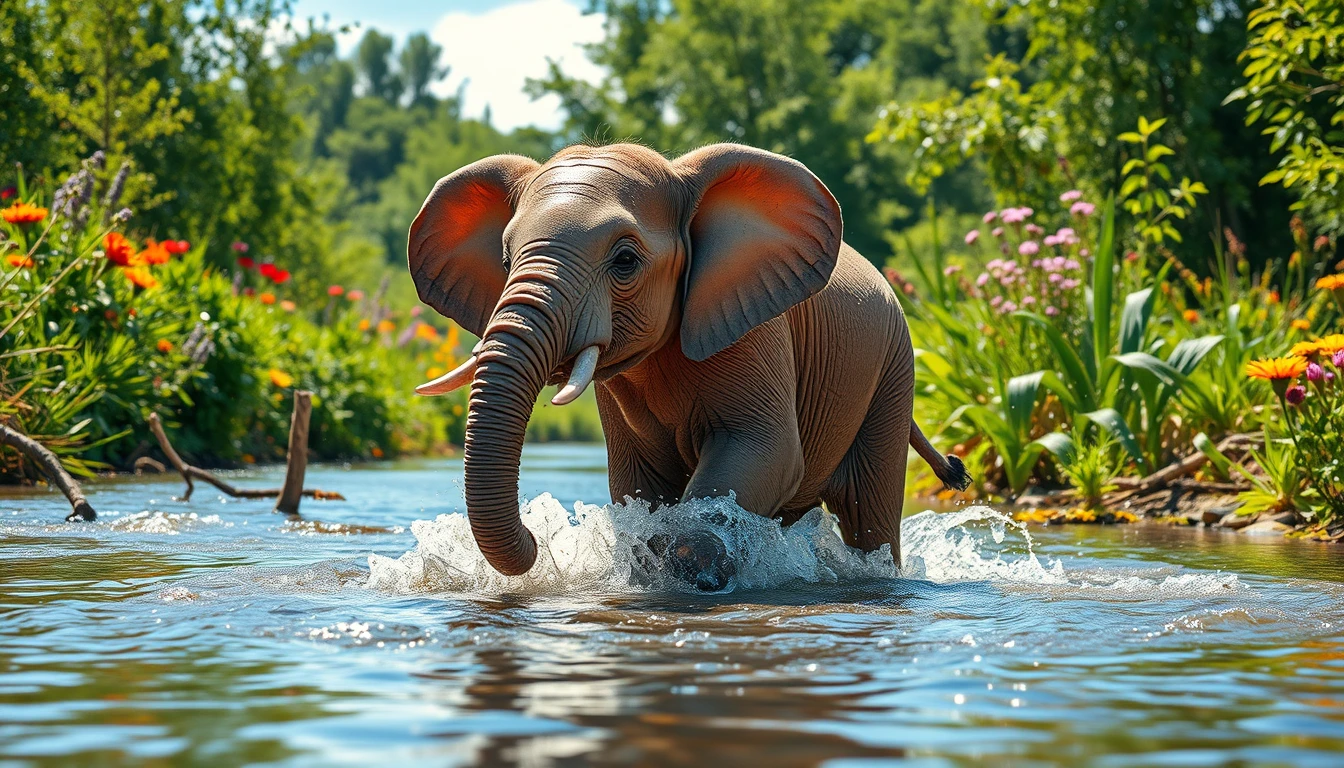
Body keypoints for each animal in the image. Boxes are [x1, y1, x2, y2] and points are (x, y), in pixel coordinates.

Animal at [407, 142, 971, 584]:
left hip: (894, 368)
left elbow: (764, 452)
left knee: (868, 511)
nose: (535, 537)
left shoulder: (754, 332)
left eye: (626, 261)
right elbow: (638, 486)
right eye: (506, 260)